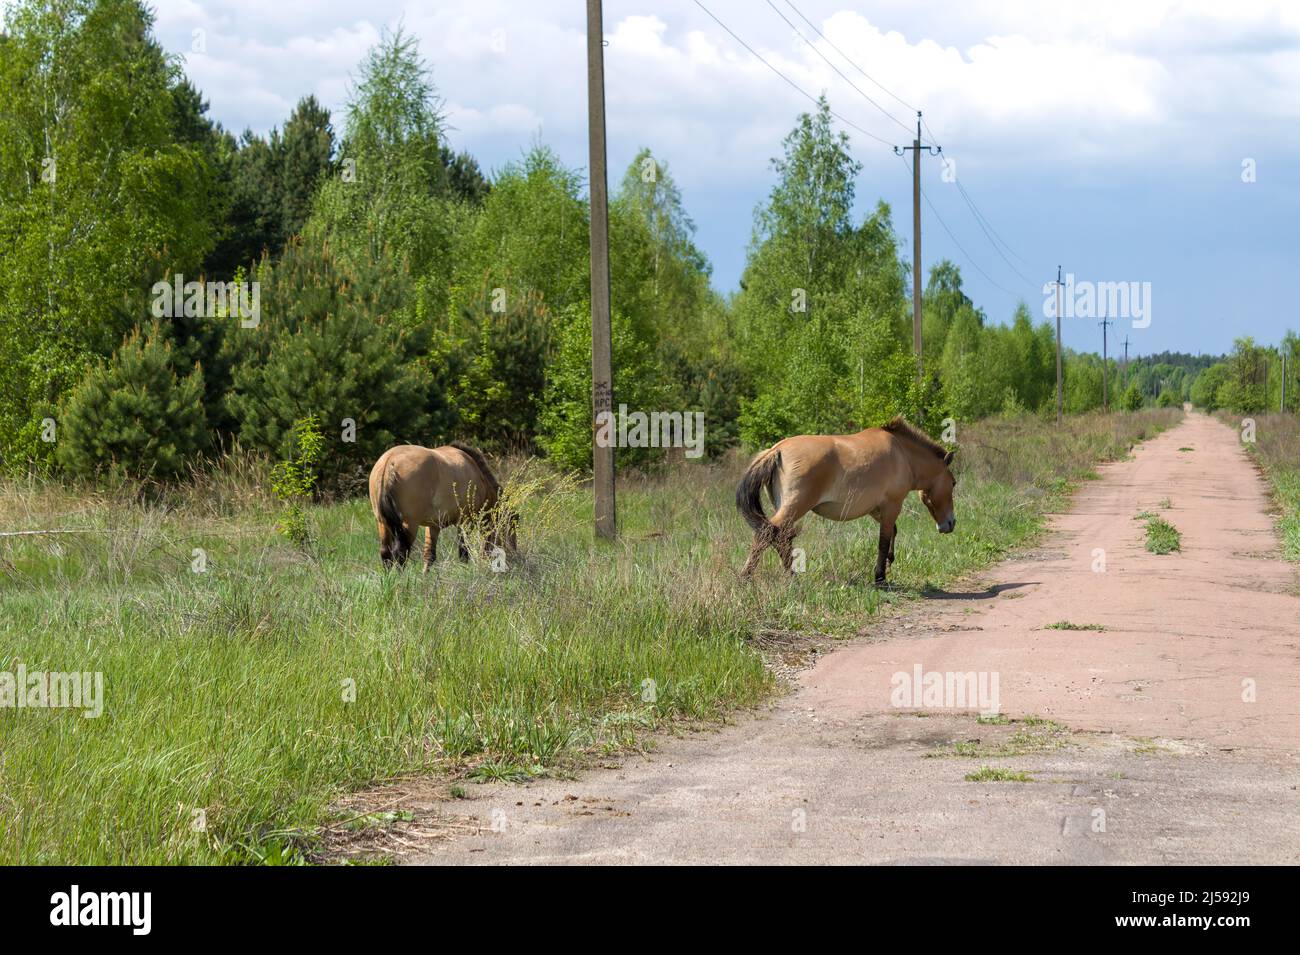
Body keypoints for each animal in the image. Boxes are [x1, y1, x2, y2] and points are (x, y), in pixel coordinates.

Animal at [368, 442, 516, 571]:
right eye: (510, 527)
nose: (514, 556)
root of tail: (389, 461)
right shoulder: (465, 522)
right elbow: (463, 552)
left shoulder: (433, 526)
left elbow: (429, 556)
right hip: (410, 524)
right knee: (400, 554)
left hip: (382, 523)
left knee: (385, 553)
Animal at [735, 417, 957, 585]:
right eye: (953, 483)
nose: (951, 523)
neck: (903, 454)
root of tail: (777, 450)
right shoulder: (891, 506)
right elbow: (883, 540)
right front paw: (880, 577)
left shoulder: (876, 509)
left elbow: (892, 532)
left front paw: (889, 561)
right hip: (794, 507)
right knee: (766, 534)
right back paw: (745, 578)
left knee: (780, 537)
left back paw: (791, 576)